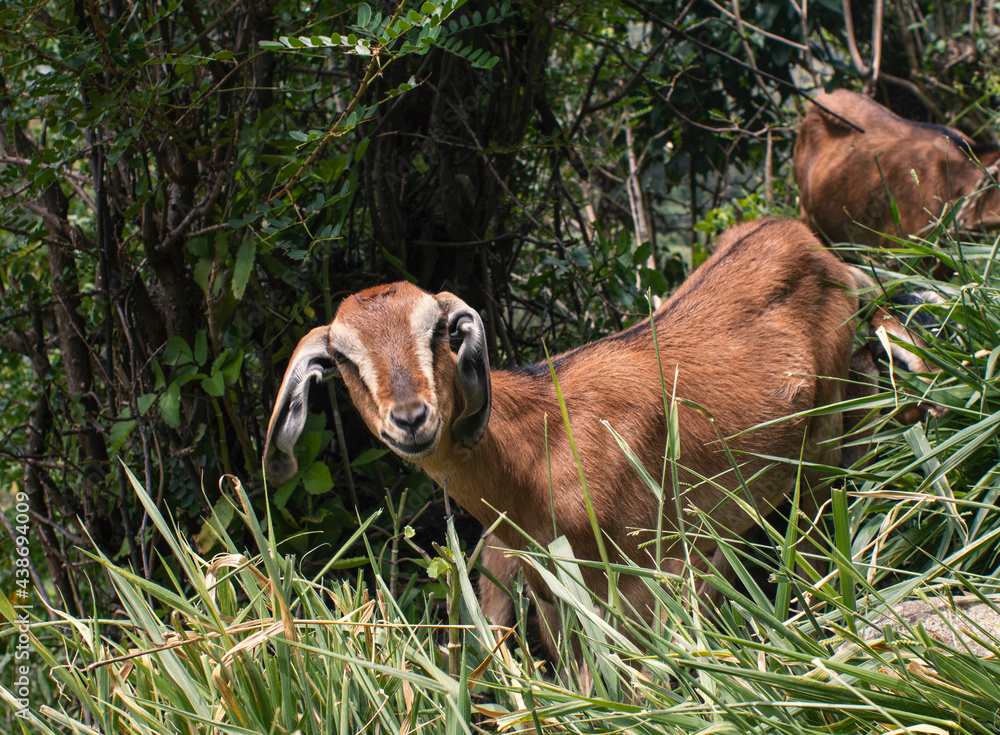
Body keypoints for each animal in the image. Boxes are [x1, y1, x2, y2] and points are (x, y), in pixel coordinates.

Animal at [264, 217, 930, 658]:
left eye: (442, 332)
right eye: (341, 359)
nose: (410, 418)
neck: (538, 450)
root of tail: (820, 250)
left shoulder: (644, 575)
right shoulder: (550, 588)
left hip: (823, 444)